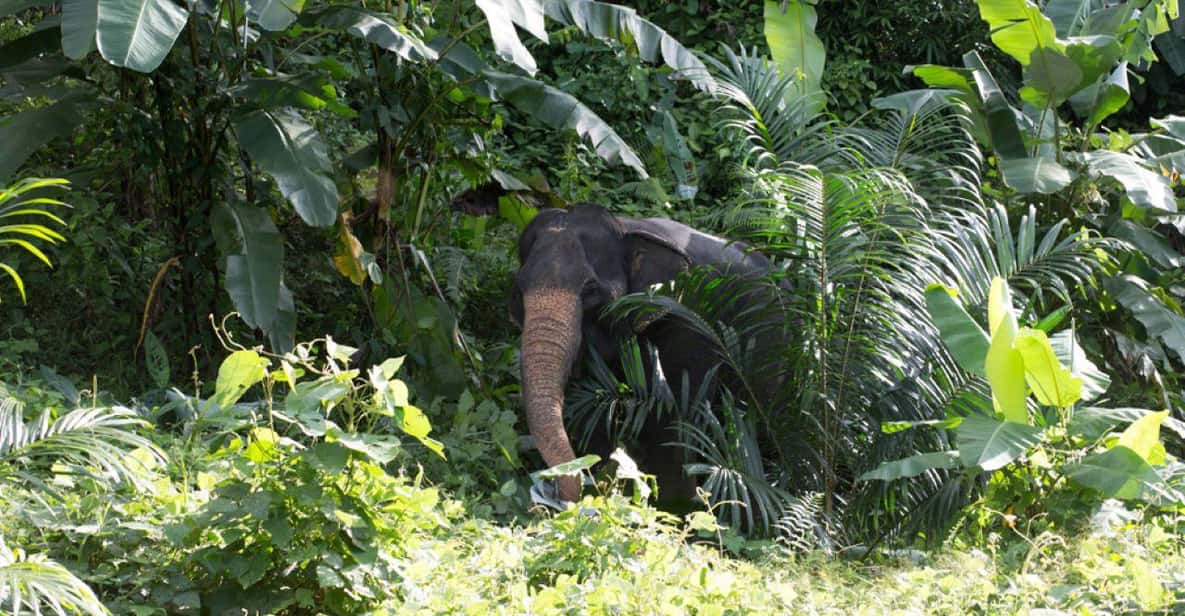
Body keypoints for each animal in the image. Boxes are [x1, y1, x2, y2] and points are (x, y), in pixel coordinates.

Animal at [510, 203, 775, 502]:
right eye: (518, 290)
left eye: (590, 289)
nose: (556, 493)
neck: (624, 226)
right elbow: (593, 408)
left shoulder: (693, 319)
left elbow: (677, 414)